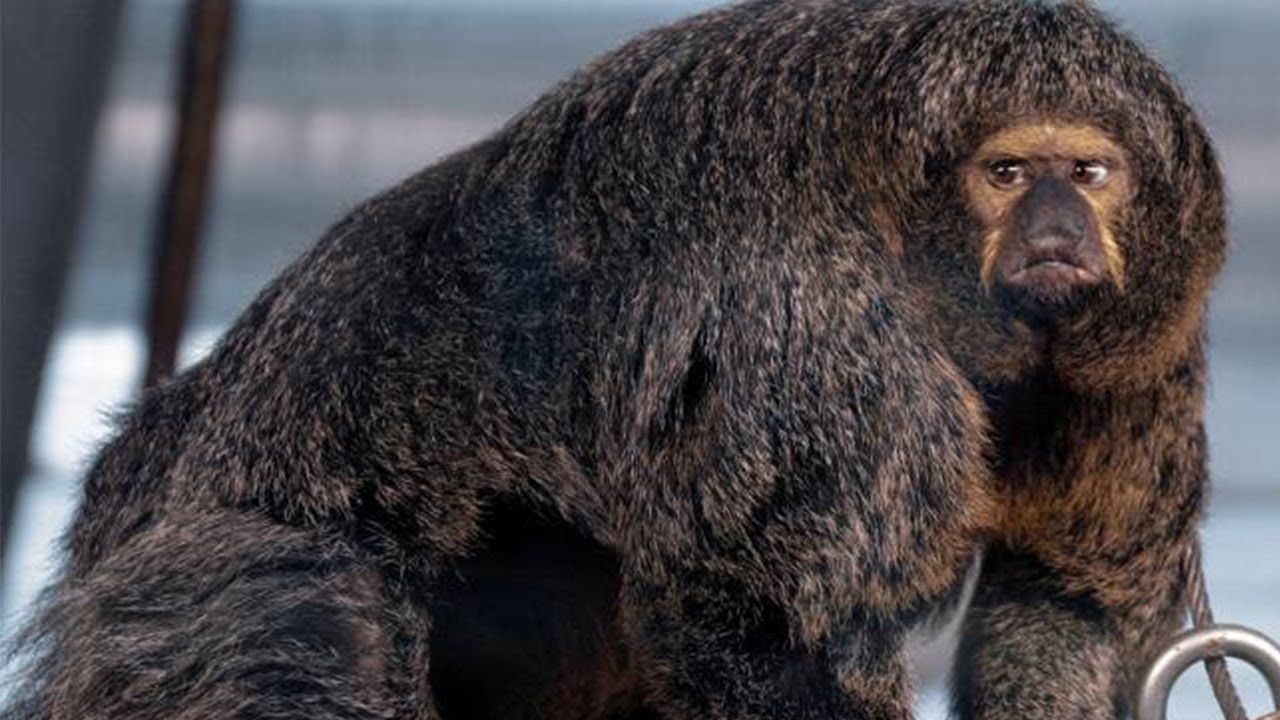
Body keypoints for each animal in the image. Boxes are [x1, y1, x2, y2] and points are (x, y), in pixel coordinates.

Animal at [4, 1, 1225, 719]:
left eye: (1090, 172)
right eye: (1010, 173)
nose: (1059, 230)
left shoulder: (1144, 362)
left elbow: (1061, 600)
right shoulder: (811, 327)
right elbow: (750, 615)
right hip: (204, 572)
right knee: (305, 620)